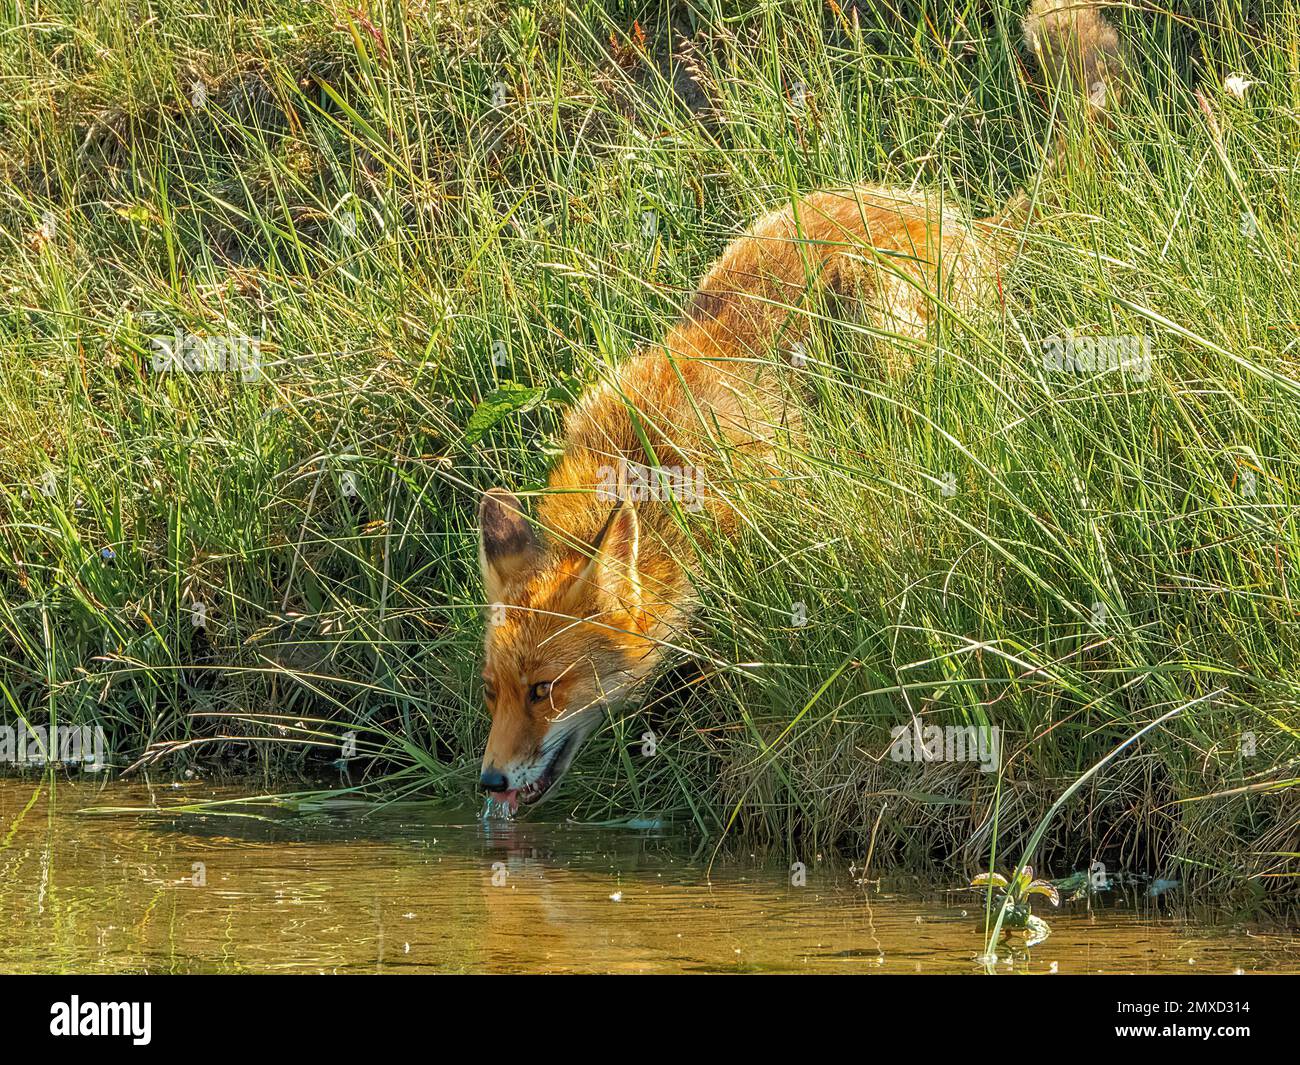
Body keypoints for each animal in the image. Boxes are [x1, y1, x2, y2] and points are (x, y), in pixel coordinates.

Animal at [476, 0, 1126, 811]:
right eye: (494, 692)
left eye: (544, 690)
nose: (488, 778)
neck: (653, 467)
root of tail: (959, 217)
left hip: (880, 325)